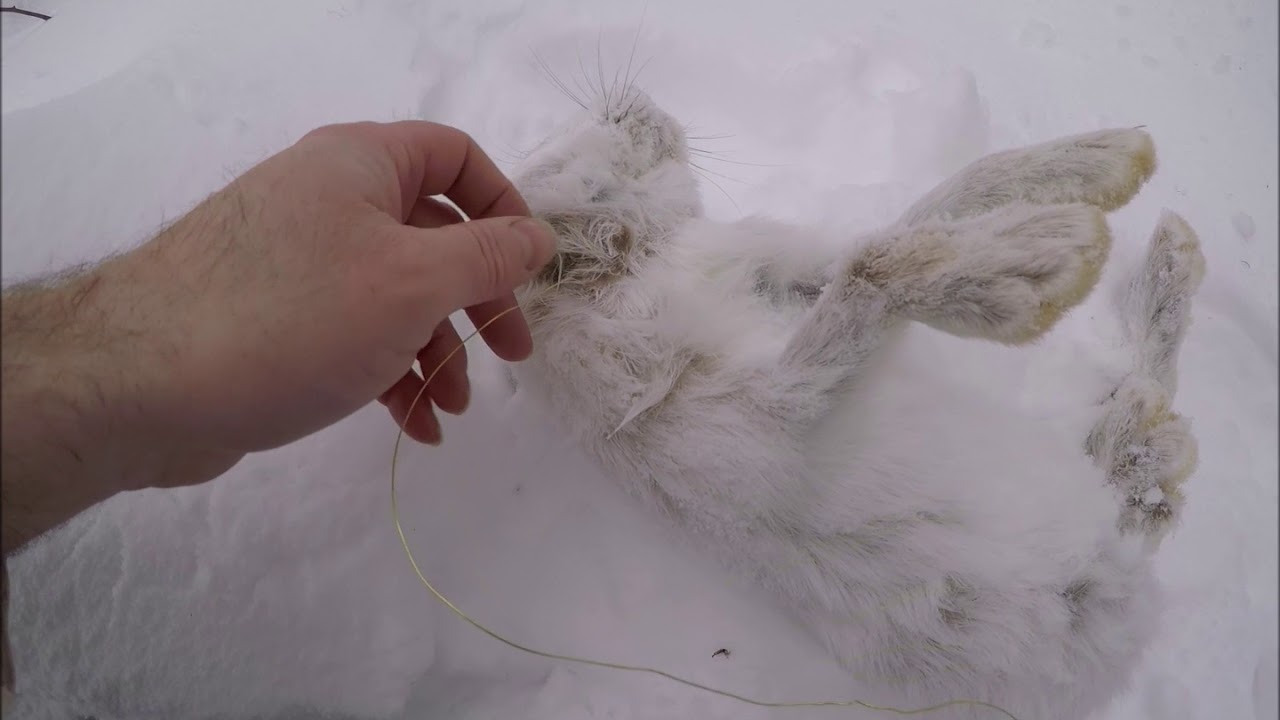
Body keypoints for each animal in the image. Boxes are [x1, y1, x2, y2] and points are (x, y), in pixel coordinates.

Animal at [502, 85, 1204, 720]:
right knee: (1141, 460)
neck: (627, 262)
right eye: (545, 149)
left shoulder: (794, 288)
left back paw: (1172, 263)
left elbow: (928, 213)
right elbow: (872, 268)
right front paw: (1051, 256)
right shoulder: (760, 420)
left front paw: (1110, 161)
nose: (633, 100)